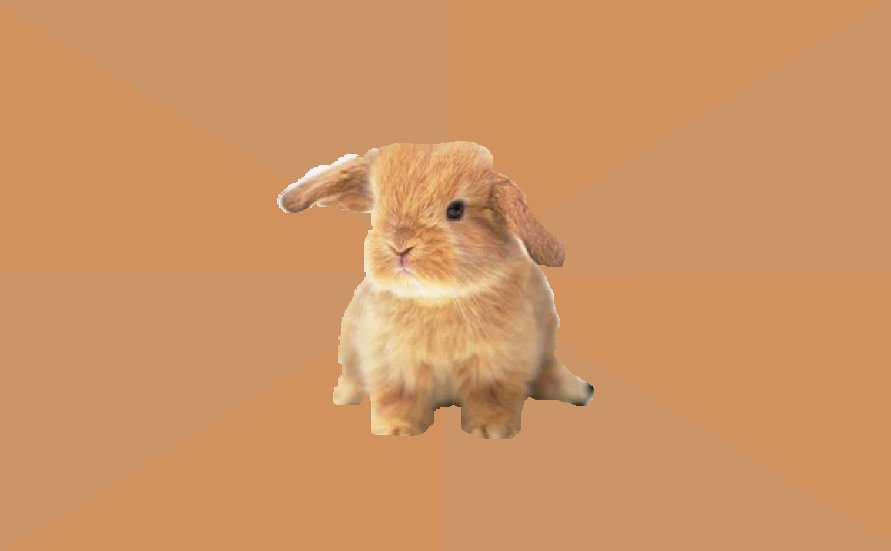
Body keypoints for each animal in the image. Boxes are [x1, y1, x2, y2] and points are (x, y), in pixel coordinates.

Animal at [277, 141, 594, 438]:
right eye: (378, 207)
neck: (437, 298)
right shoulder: (394, 365)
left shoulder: (498, 365)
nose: (400, 247)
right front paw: (396, 430)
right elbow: (398, 400)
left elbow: (491, 399)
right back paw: (345, 397)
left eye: (456, 209)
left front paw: (492, 431)